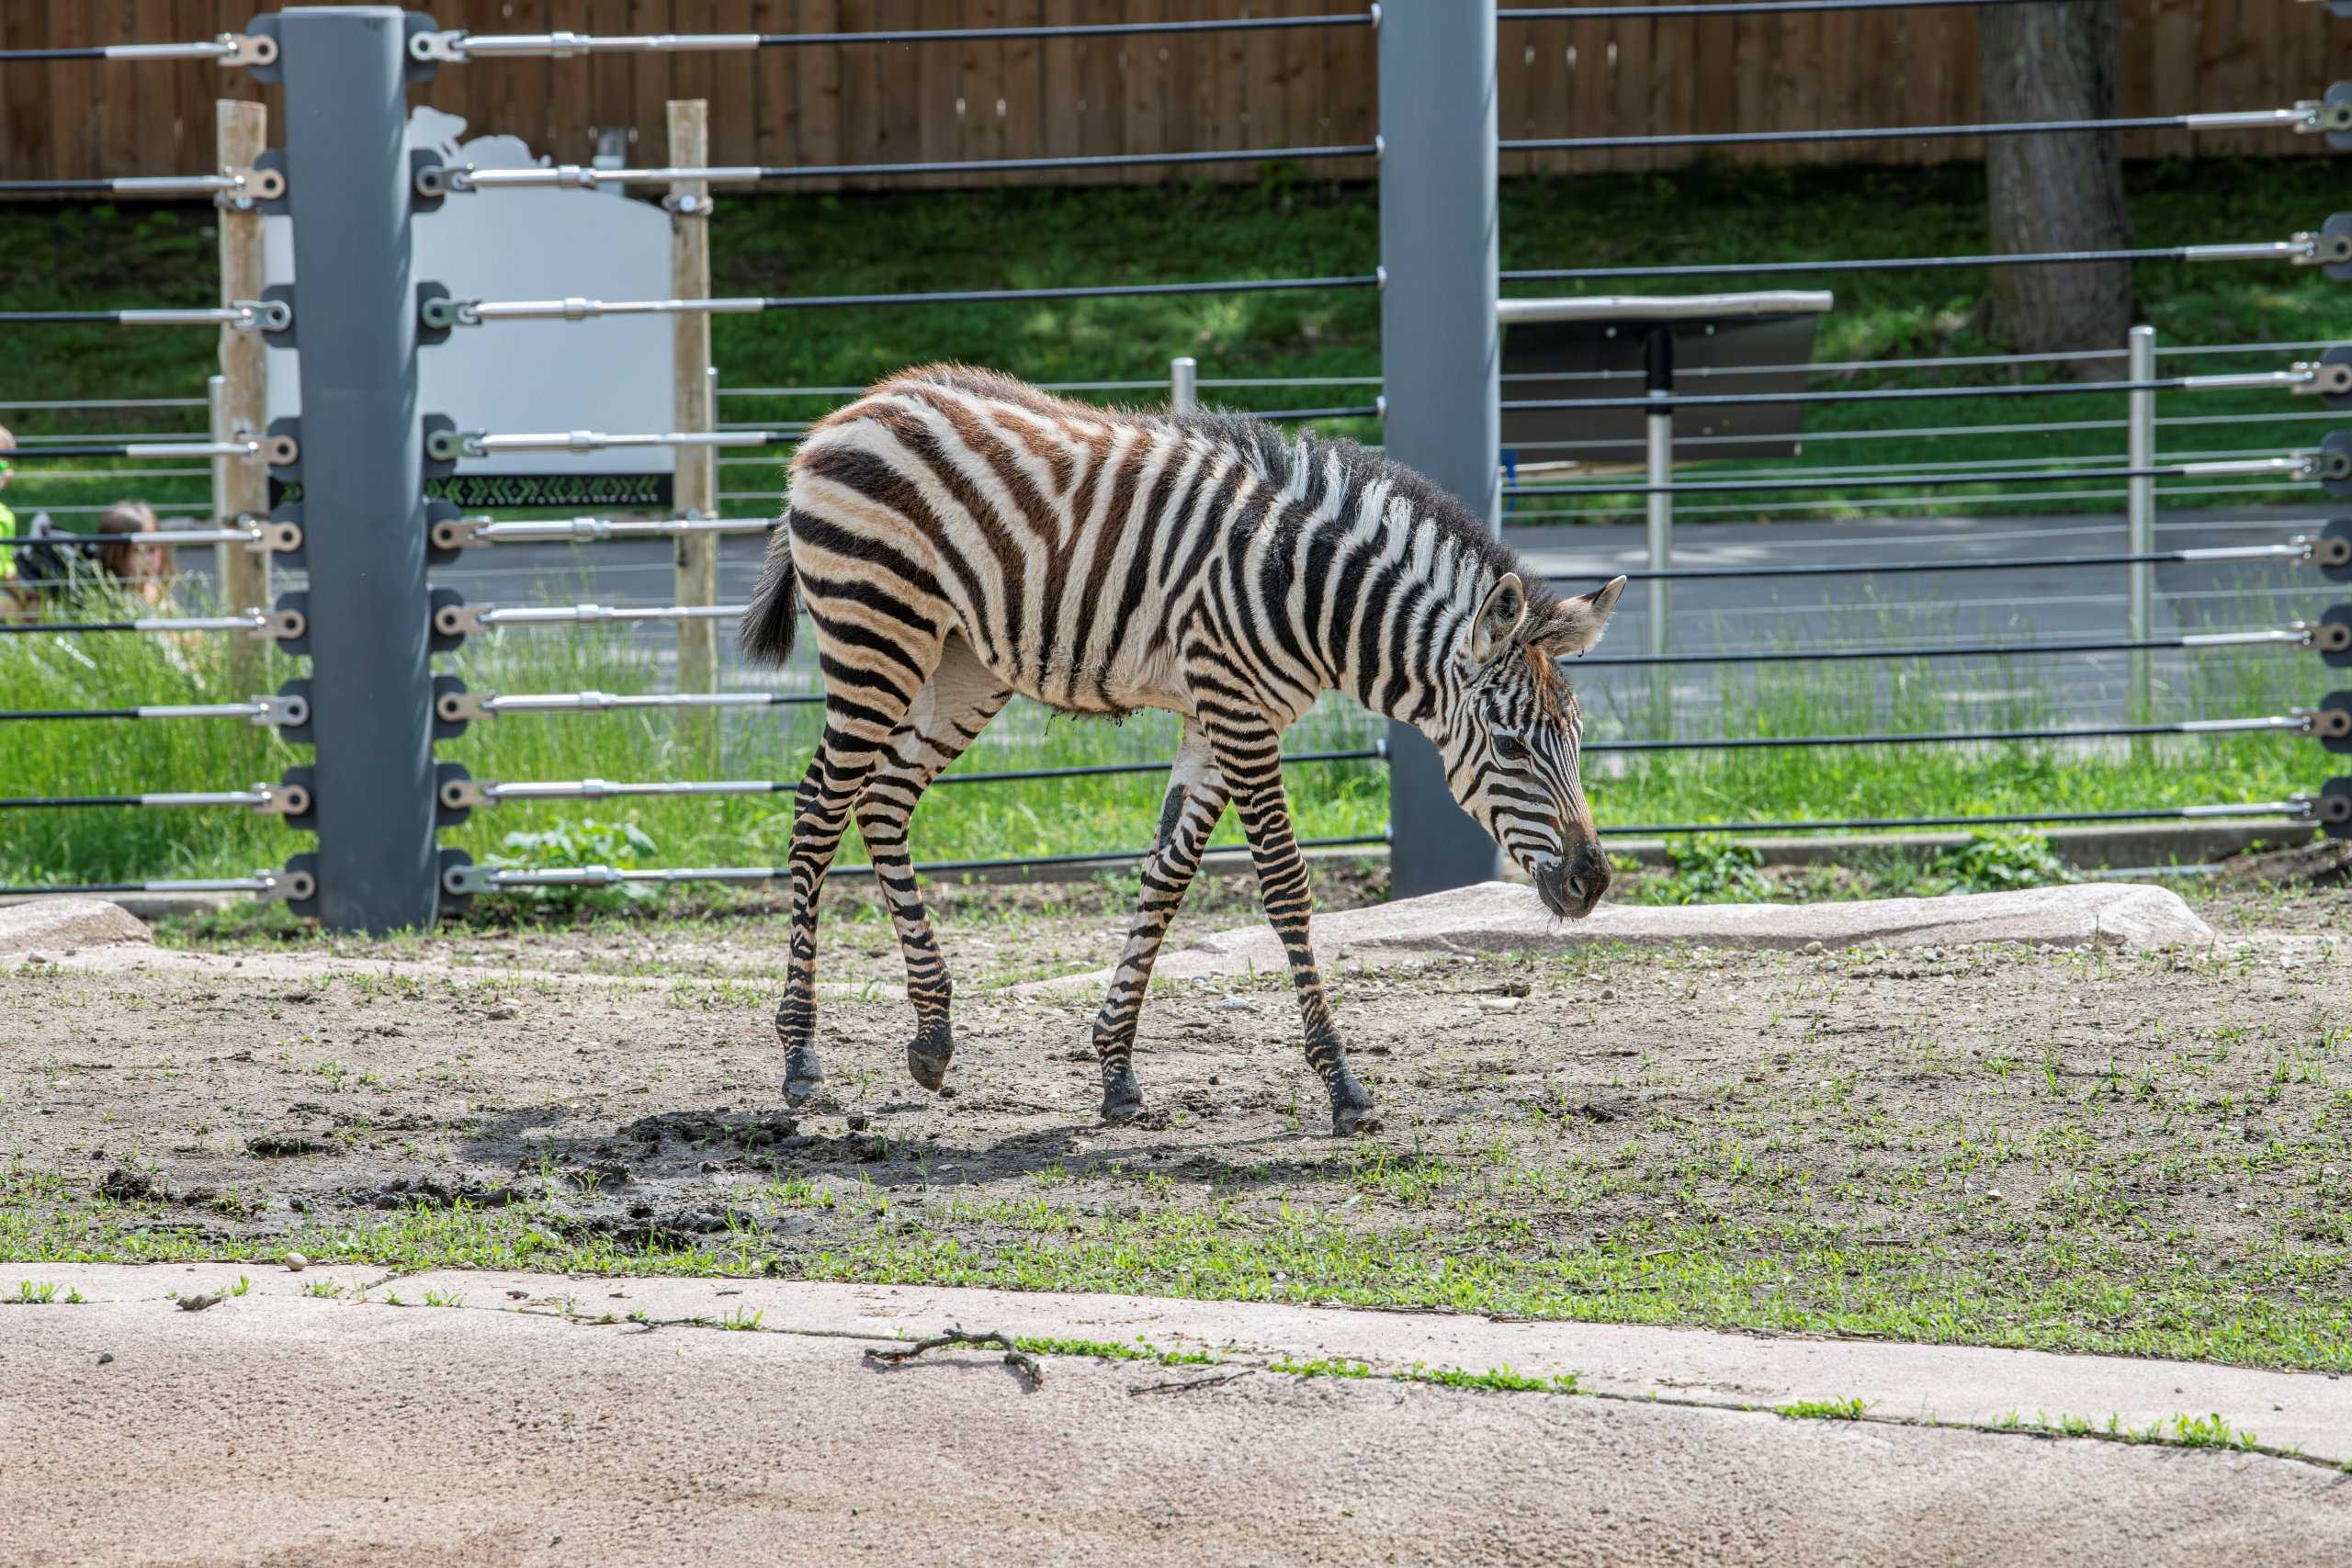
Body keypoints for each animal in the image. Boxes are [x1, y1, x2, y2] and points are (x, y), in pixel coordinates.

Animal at [740, 364, 1625, 1137]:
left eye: (1577, 740)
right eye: (1509, 745)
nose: (1593, 881)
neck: (1301, 589)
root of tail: (856, 409)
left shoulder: (1217, 715)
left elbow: (1167, 878)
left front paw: (1117, 1069)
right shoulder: (1239, 712)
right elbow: (1286, 888)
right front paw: (1342, 1085)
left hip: (960, 663)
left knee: (884, 799)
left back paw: (930, 1038)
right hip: (873, 633)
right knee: (819, 811)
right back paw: (801, 1059)